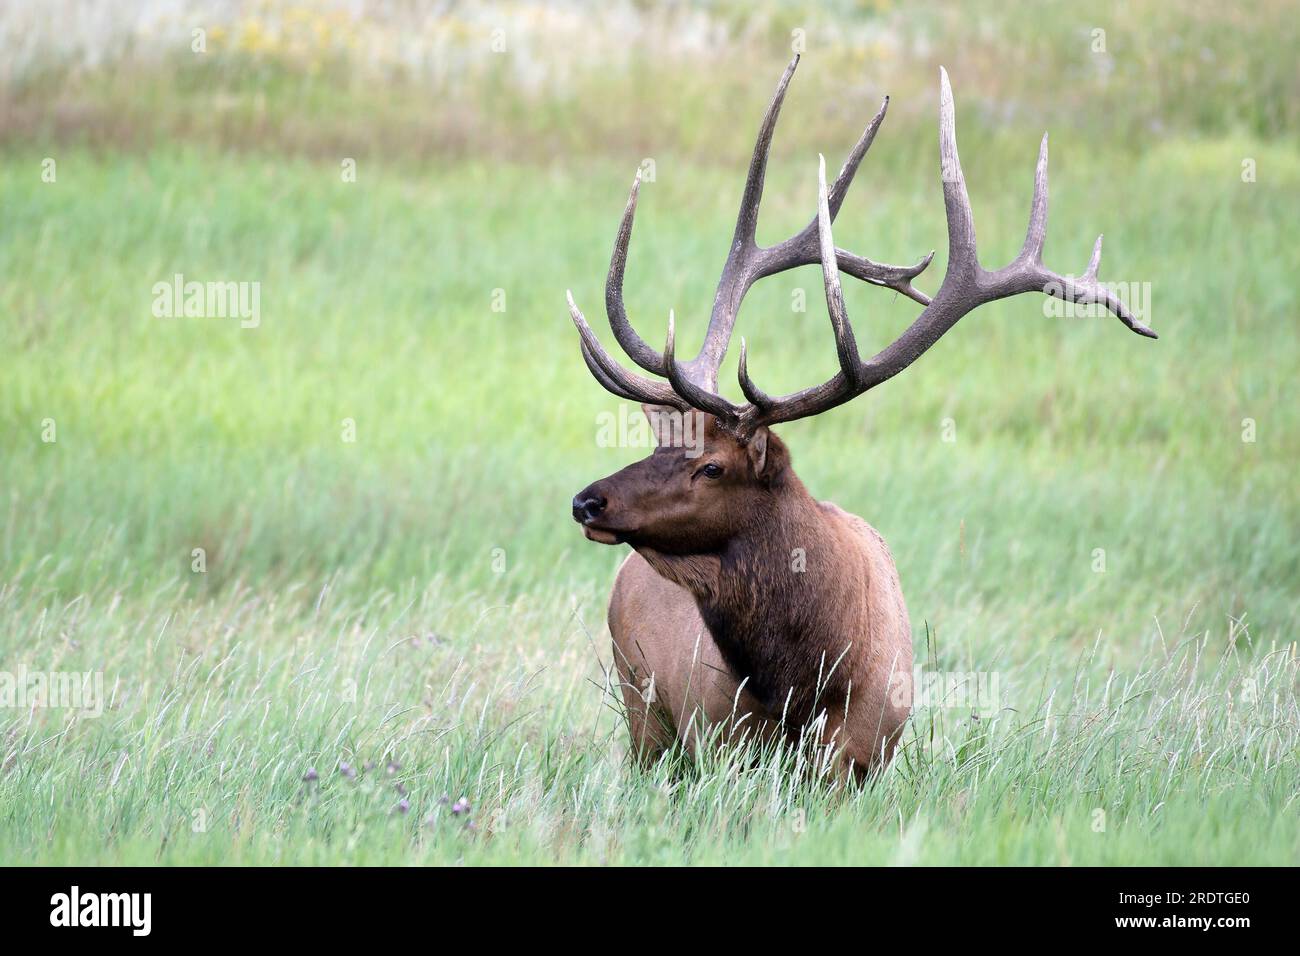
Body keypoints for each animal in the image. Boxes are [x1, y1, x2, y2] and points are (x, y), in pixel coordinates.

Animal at [566, 58, 1156, 782]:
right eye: (659, 449)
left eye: (711, 466)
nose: (588, 500)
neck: (804, 679)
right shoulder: (719, 741)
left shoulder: (865, 754)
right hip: (640, 710)